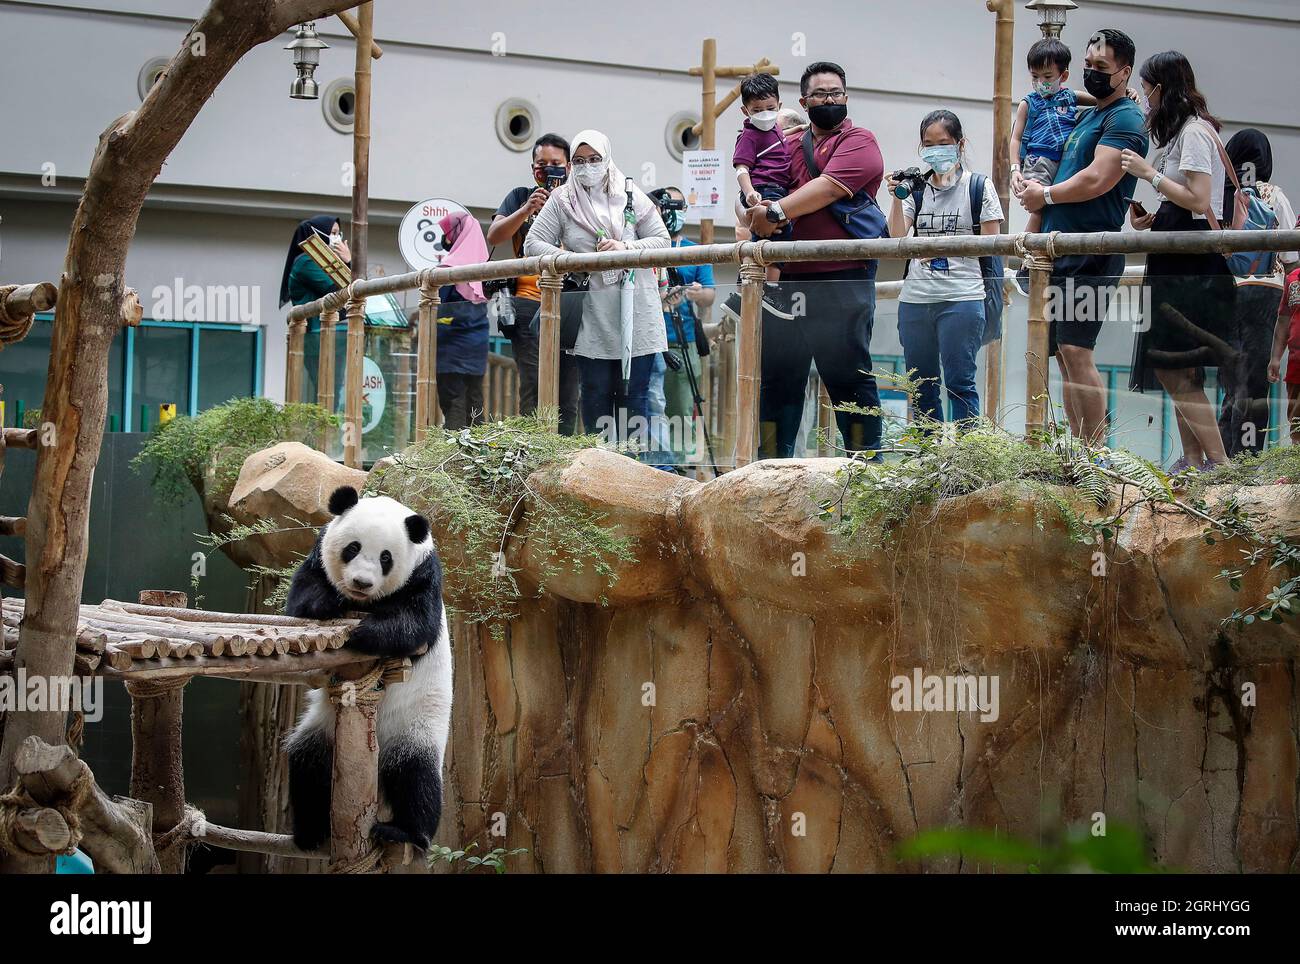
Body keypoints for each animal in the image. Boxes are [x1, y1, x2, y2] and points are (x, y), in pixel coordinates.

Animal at [282, 484, 451, 852]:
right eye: (352, 548)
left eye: (386, 558)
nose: (361, 583)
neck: (364, 603)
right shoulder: (317, 556)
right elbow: (302, 598)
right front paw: (329, 604)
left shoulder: (423, 575)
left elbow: (414, 623)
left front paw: (365, 633)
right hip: (323, 728)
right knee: (306, 764)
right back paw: (311, 832)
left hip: (415, 726)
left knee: (417, 777)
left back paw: (405, 832)